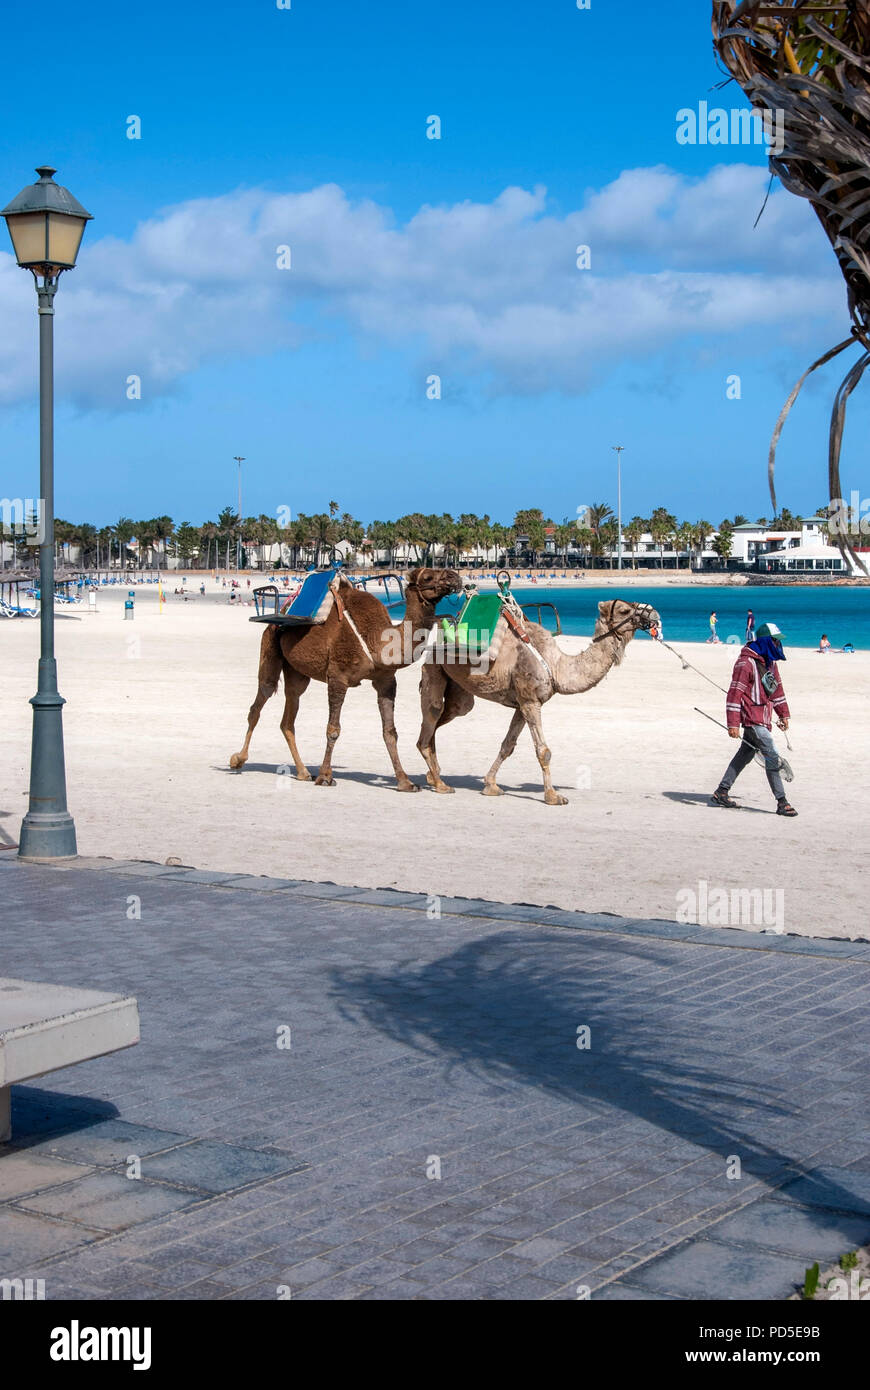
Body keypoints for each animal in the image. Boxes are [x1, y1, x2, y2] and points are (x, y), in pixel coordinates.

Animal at [230, 567, 462, 789]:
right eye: (428, 576)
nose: (455, 577)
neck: (377, 639)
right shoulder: (337, 677)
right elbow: (333, 729)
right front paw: (325, 777)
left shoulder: (386, 681)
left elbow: (390, 732)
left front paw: (405, 782)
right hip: (270, 646)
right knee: (259, 701)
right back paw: (238, 760)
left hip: (297, 673)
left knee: (289, 714)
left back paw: (303, 772)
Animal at [417, 597, 661, 805]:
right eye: (624, 610)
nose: (655, 613)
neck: (556, 666)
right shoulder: (530, 701)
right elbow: (544, 751)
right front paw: (553, 796)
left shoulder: (523, 704)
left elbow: (508, 745)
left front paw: (490, 785)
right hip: (433, 667)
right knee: (431, 718)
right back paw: (439, 783)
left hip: (459, 689)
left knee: (445, 717)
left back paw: (432, 775)